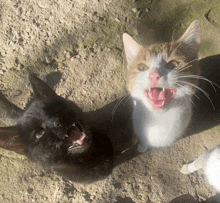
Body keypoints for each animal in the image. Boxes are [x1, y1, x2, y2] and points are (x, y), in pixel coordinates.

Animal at [123, 20, 200, 152]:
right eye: (142, 67)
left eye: (172, 64)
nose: (154, 75)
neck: (158, 120)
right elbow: (143, 141)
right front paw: (142, 147)